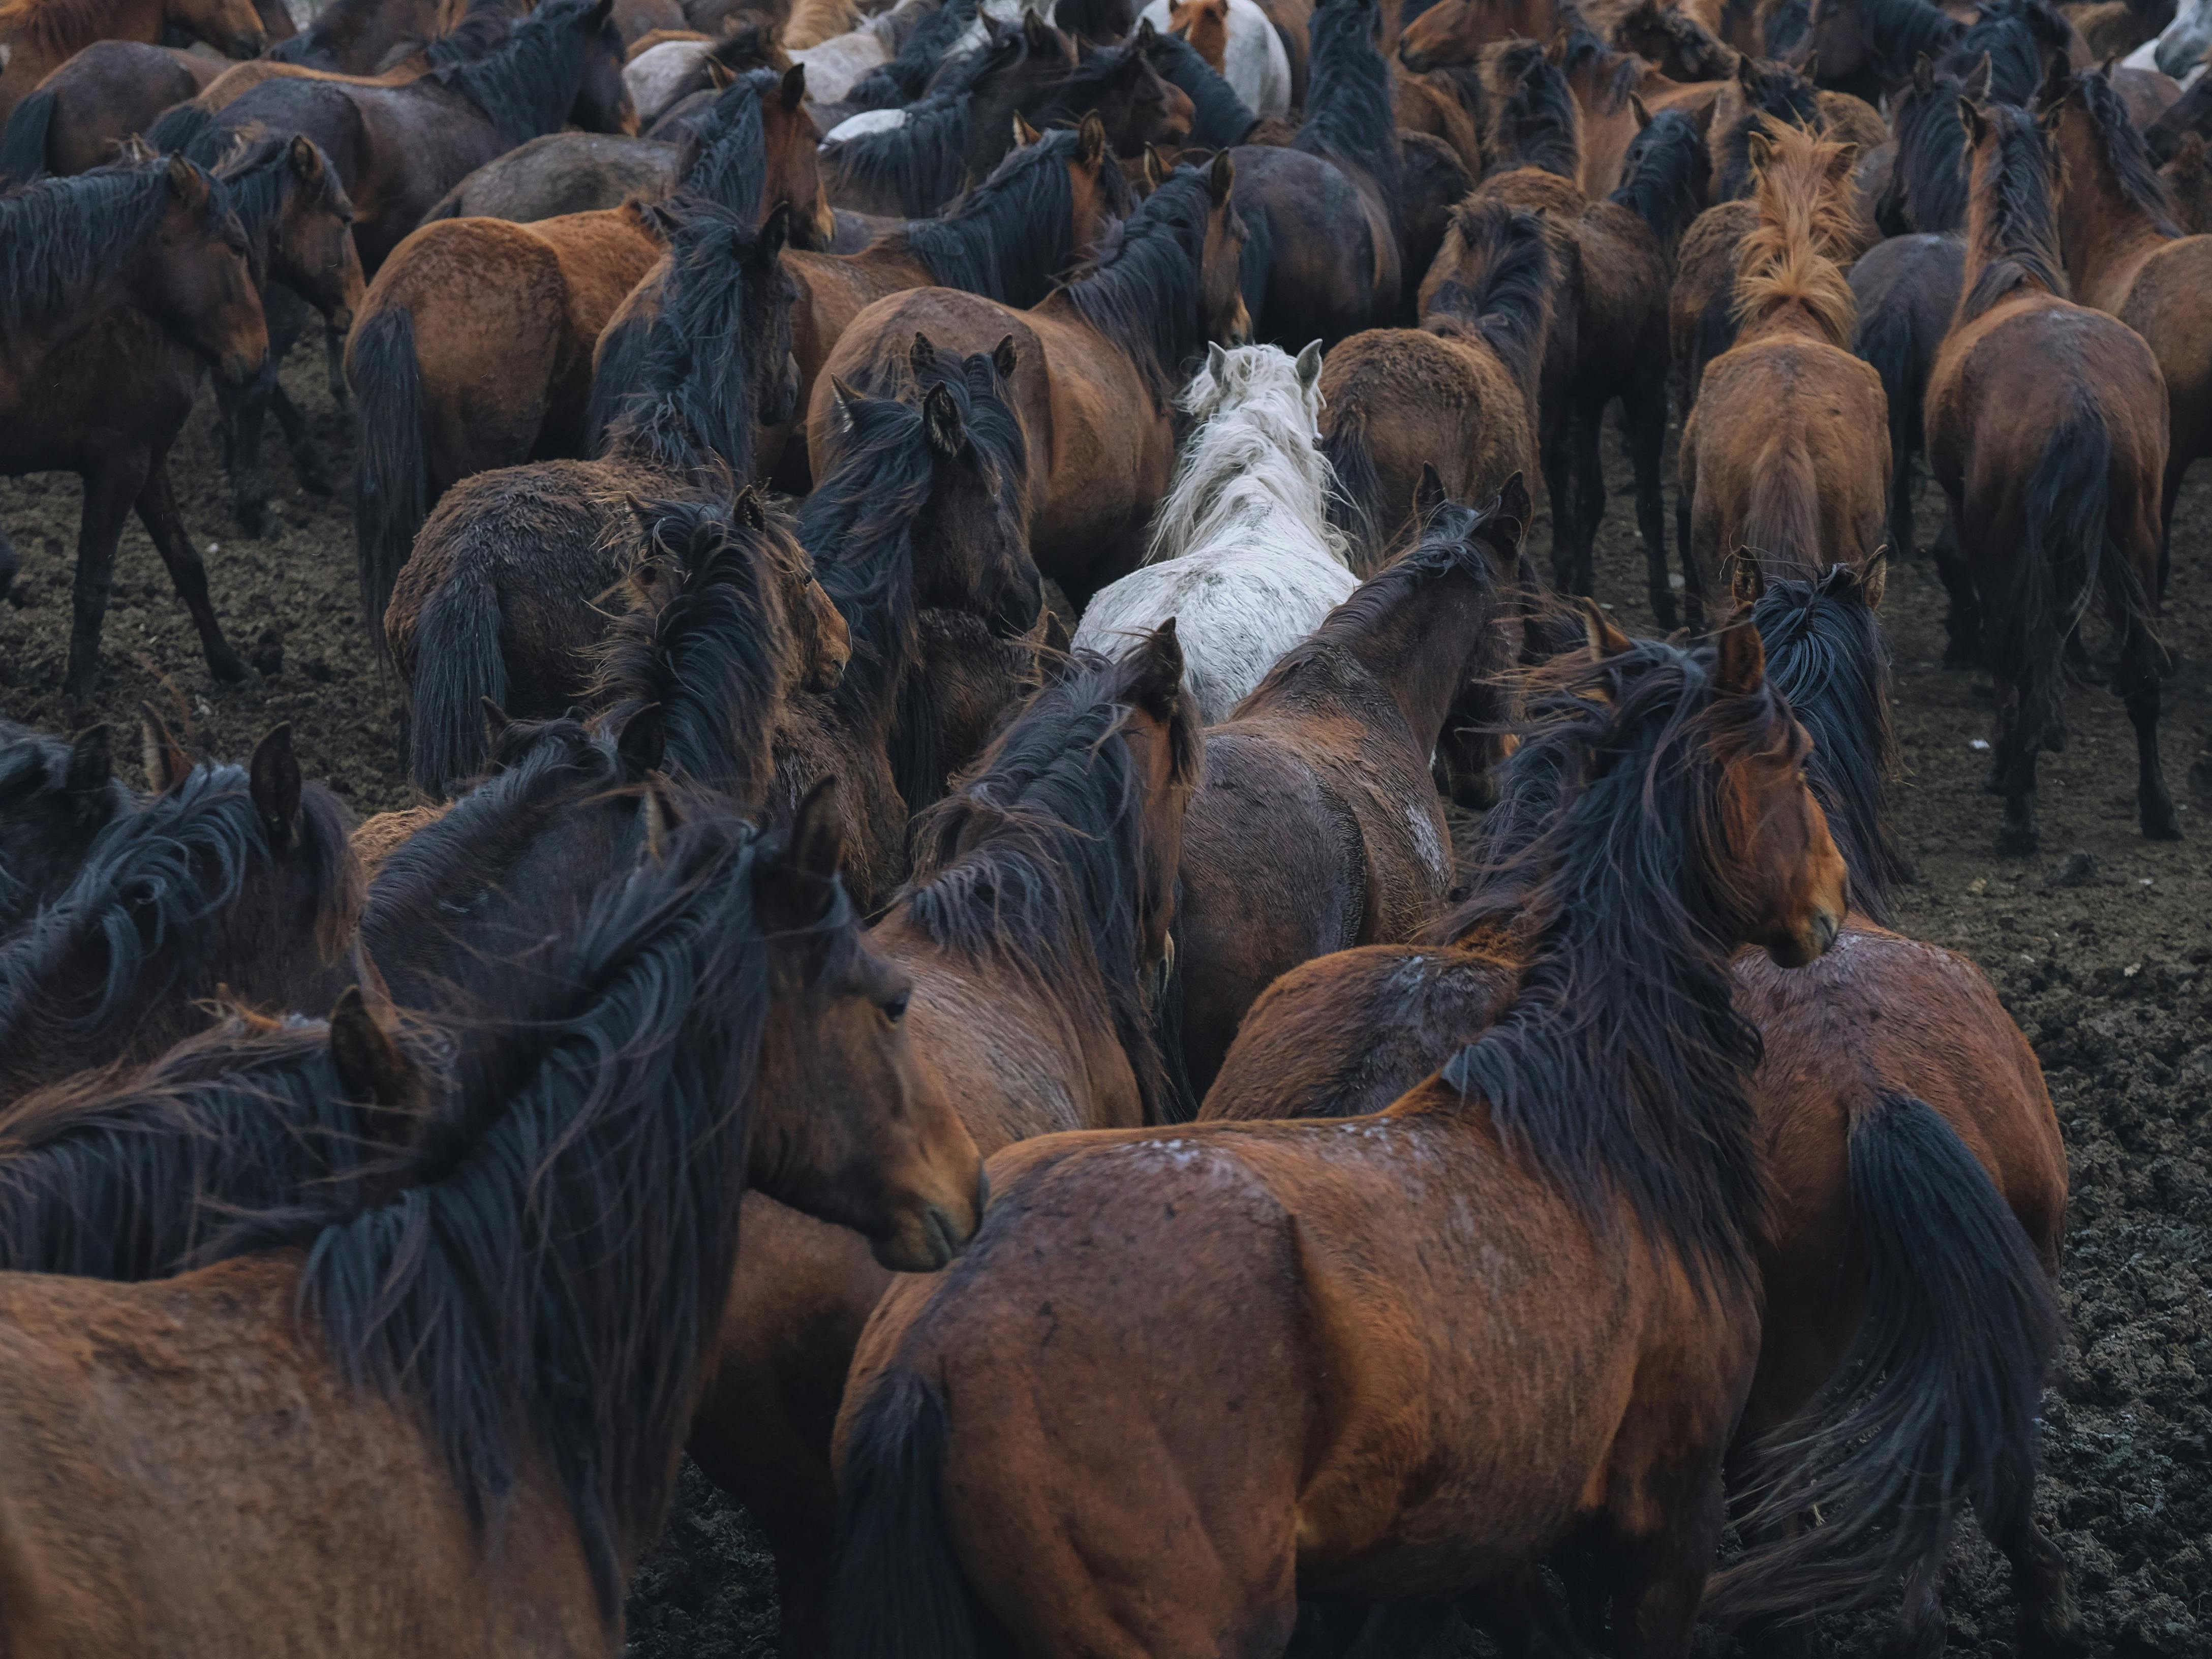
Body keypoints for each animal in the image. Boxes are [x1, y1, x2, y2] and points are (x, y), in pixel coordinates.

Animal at [0, 157, 268, 701]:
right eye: (236, 247)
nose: (260, 353)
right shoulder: (118, 467)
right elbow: (93, 583)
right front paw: (79, 701)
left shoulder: (147, 459)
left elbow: (187, 565)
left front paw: (230, 665)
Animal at [831, 620, 1850, 1659]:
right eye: (1798, 759)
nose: (1834, 900)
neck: (1598, 1099)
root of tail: (923, 1364)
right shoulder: (1670, 1515)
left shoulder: (1482, 1542)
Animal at [1927, 95, 2175, 851]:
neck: (2012, 278)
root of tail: (2080, 404)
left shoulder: (1973, 522)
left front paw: (2013, 754)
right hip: (2135, 535)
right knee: (2140, 674)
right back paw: (2157, 810)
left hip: (2006, 538)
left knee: (2016, 648)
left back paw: (2017, 805)